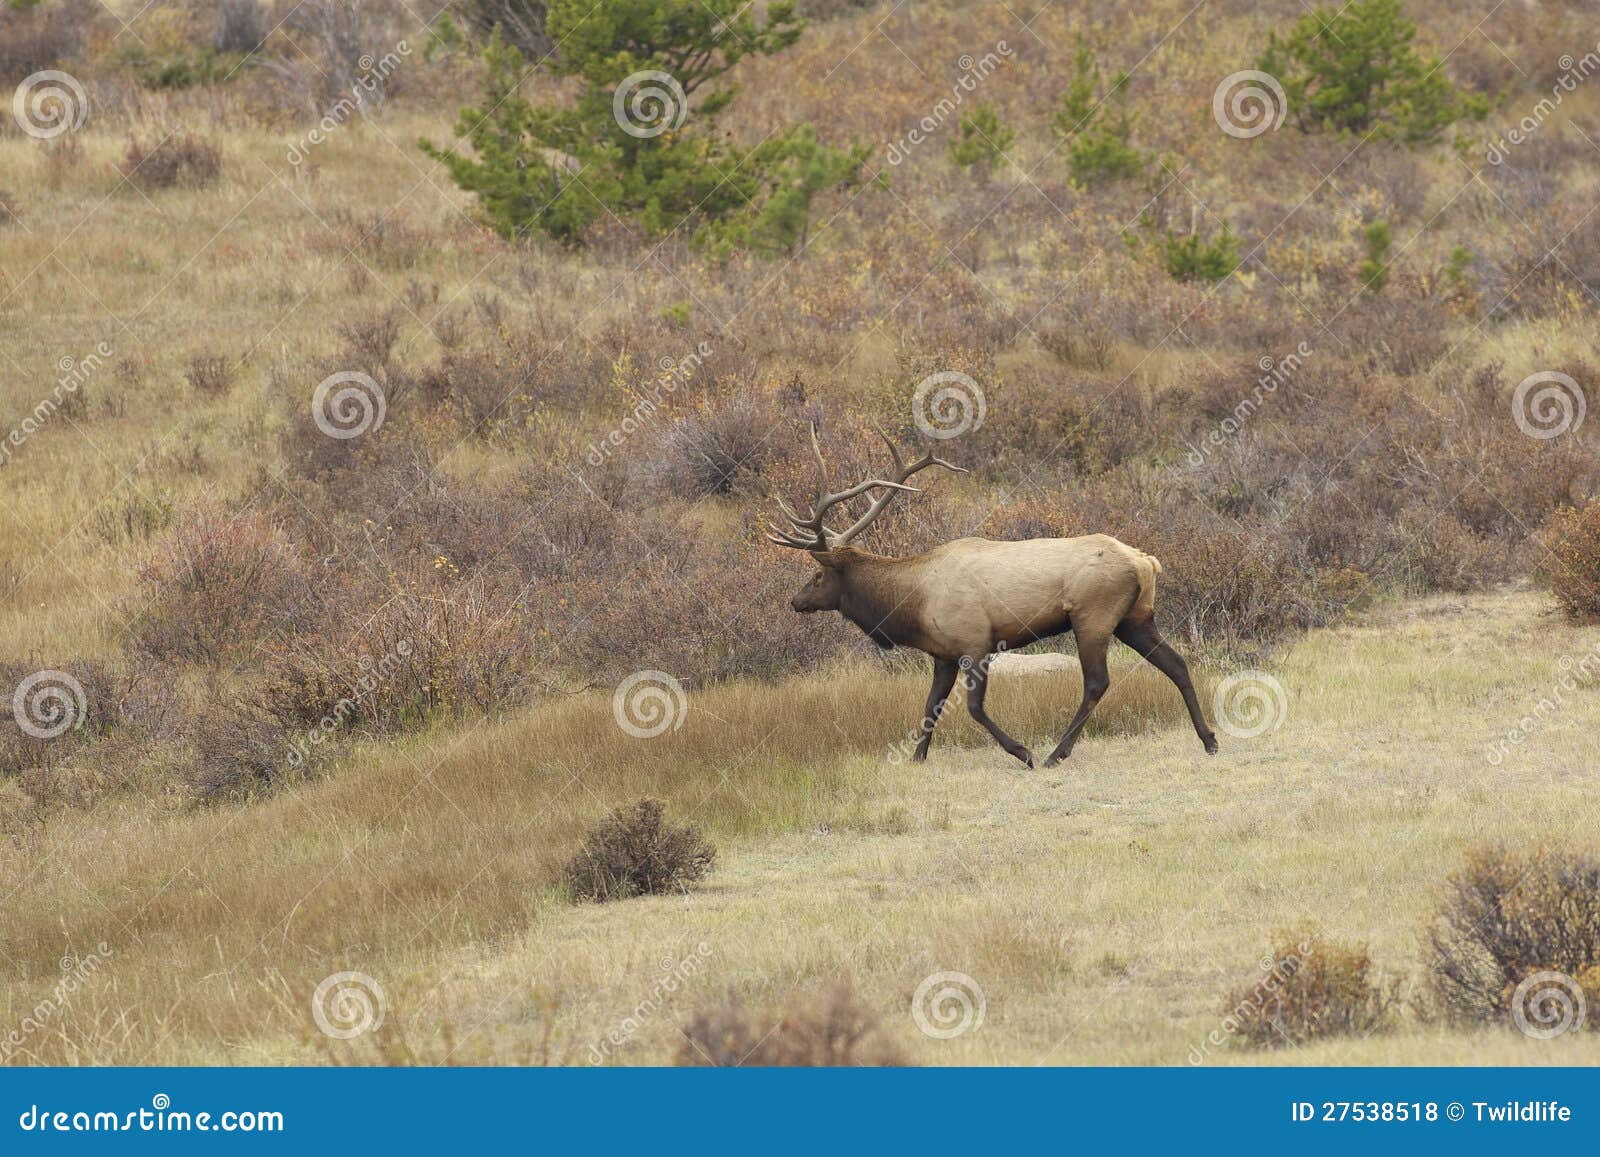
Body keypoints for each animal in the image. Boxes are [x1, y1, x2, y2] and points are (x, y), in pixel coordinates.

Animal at [766, 426, 1218, 767]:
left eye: (817, 574)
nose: (795, 601)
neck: (912, 604)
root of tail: (1147, 561)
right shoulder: (943, 654)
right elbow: (930, 706)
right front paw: (916, 756)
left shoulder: (976, 642)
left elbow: (973, 708)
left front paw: (1022, 752)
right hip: (1136, 618)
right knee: (1176, 664)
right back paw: (1209, 739)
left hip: (1094, 616)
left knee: (1097, 682)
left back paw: (1056, 753)